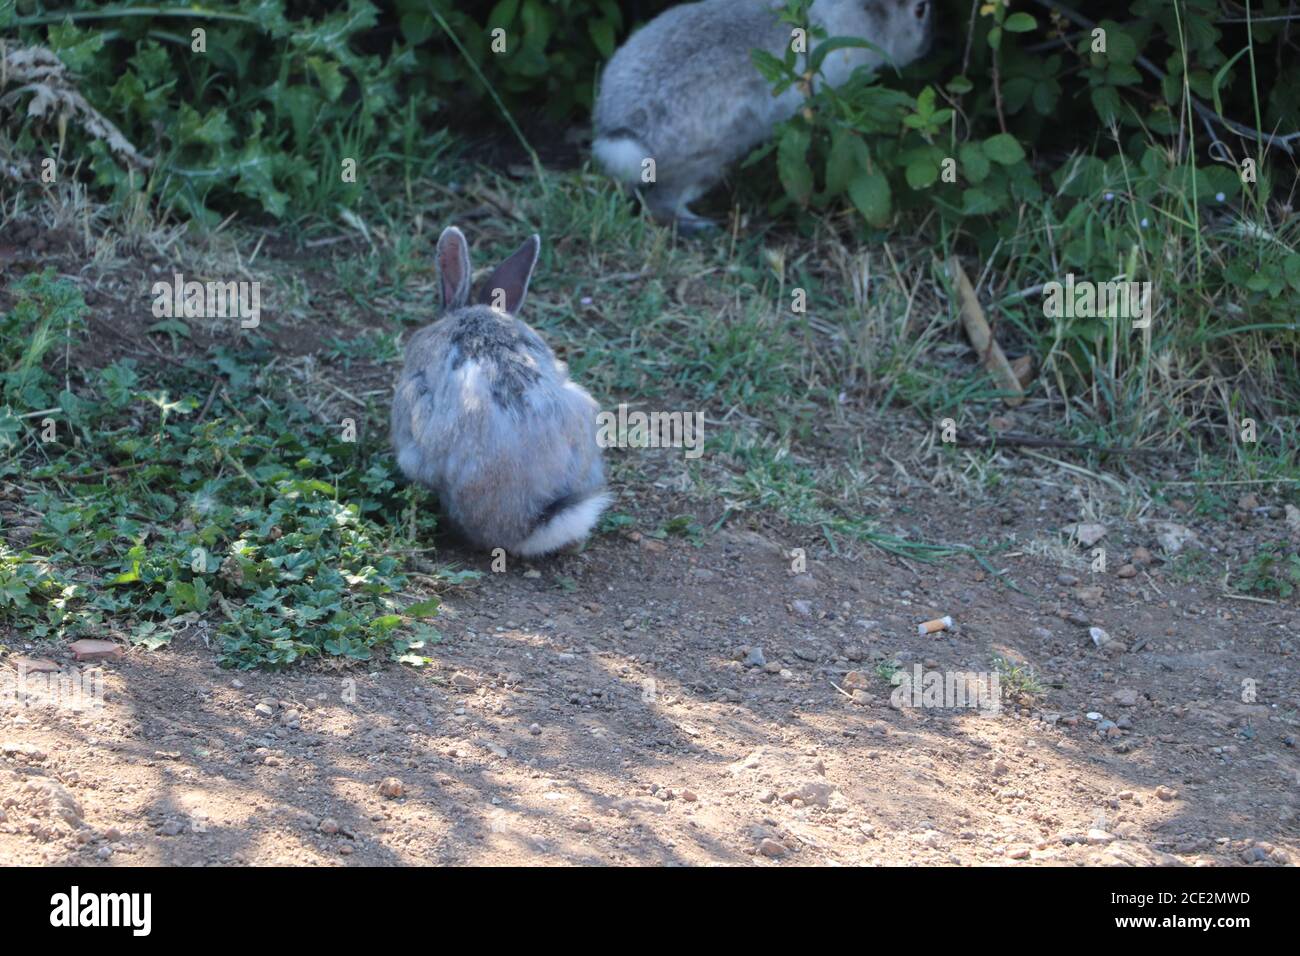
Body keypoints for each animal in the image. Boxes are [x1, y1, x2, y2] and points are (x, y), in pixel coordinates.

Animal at [593, 0, 933, 230]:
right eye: (919, 10)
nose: (926, 46)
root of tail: (623, 127)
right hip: (706, 159)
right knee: (660, 203)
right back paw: (701, 226)